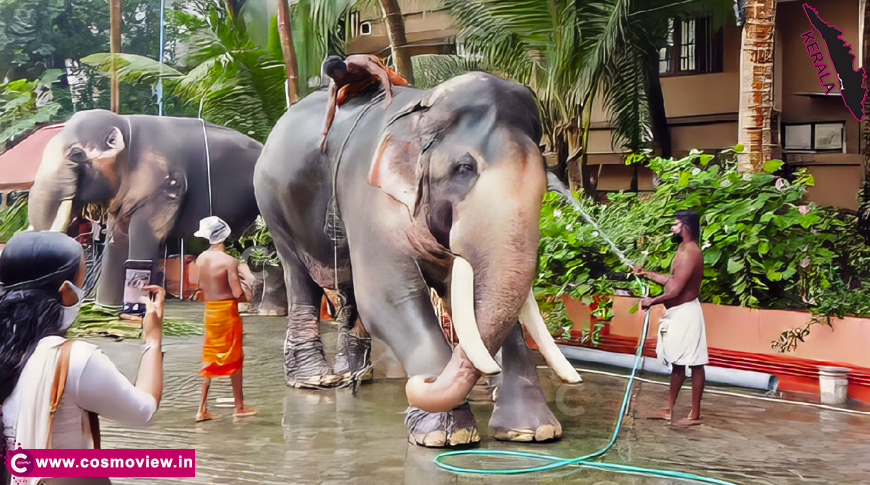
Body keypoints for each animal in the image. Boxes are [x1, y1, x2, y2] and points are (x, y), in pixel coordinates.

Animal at [29, 109, 262, 306]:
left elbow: (145, 236)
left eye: (76, 154)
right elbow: (117, 240)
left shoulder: (165, 185)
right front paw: (105, 308)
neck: (125, 124)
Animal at [255, 72, 584, 446]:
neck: (421, 115)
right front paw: (447, 435)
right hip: (273, 206)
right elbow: (390, 298)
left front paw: (532, 431)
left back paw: (354, 376)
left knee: (348, 292)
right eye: (463, 168)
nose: (422, 381)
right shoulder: (369, 196)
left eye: (546, 183)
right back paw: (315, 380)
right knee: (300, 277)